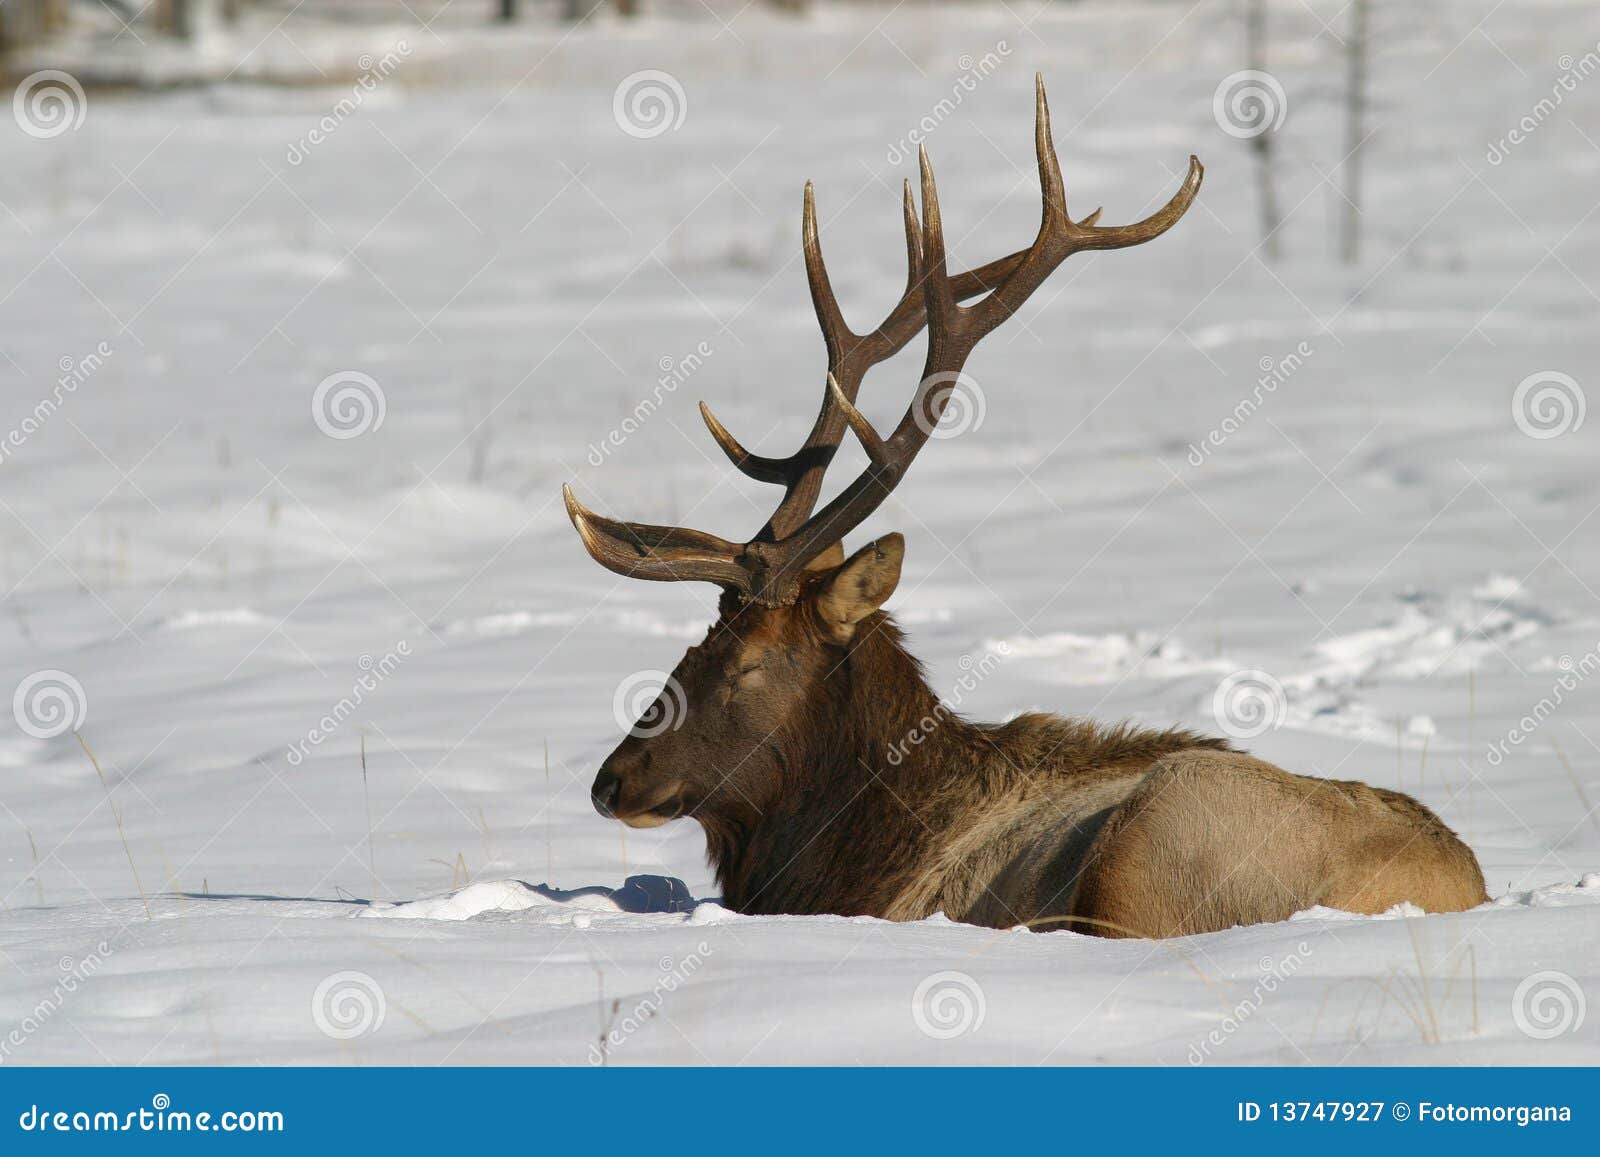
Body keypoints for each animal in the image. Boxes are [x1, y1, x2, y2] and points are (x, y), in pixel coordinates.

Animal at [562, 78, 1487, 938]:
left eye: (747, 662)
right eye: (696, 641)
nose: (611, 779)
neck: (856, 850)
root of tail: (1457, 890)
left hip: (1152, 839)